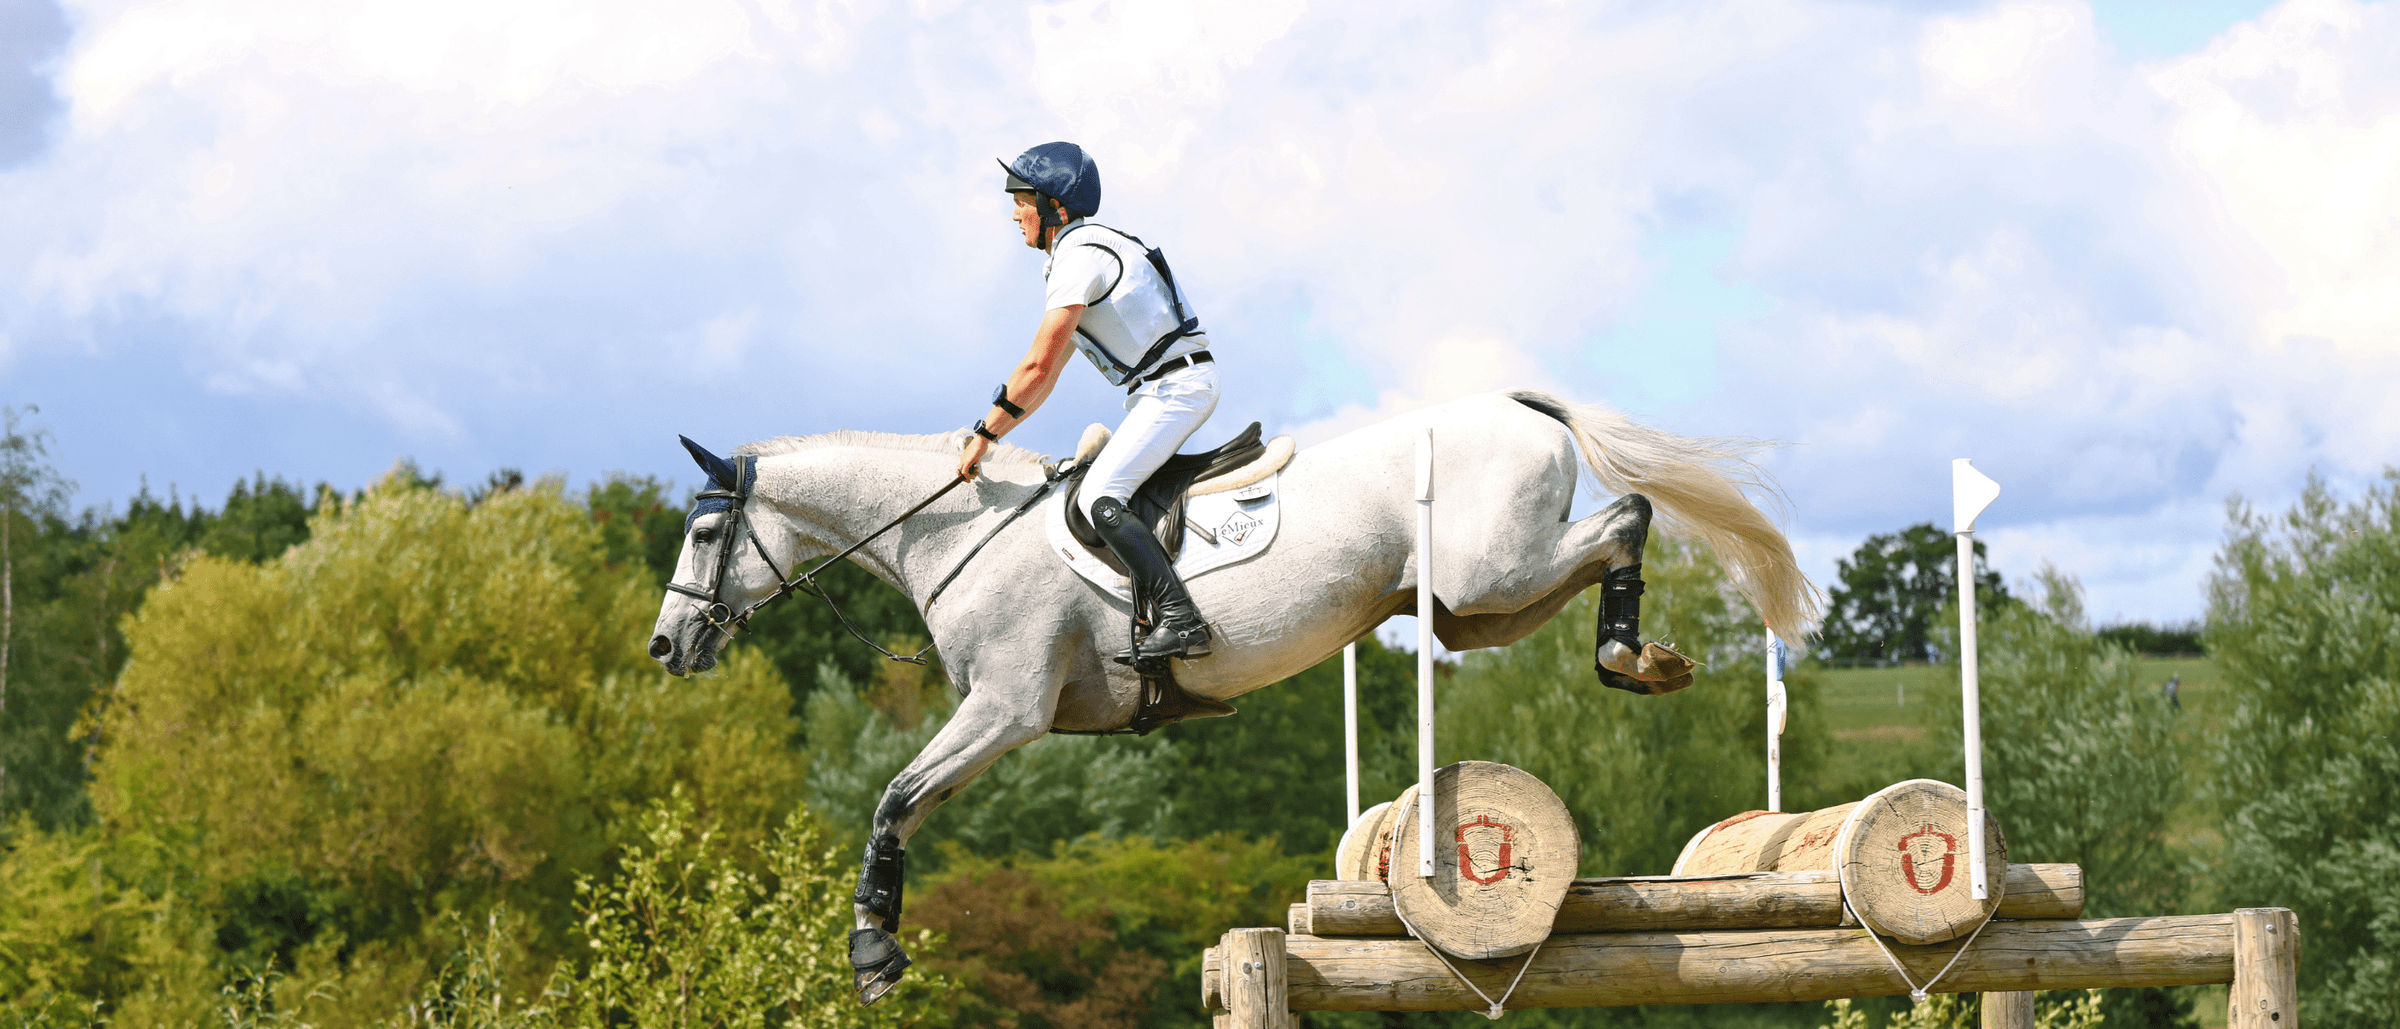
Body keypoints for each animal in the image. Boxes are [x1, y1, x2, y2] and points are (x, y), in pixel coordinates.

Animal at [645, 388, 1821, 1003]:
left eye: (702, 533)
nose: (664, 647)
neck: (958, 530)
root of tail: (1508, 403)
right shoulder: (1006, 718)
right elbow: (902, 802)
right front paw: (876, 942)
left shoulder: (1007, 711)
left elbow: (892, 799)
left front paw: (872, 952)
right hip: (1471, 607)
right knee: (1601, 539)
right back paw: (1642, 656)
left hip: (1488, 574)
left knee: (1628, 516)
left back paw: (1628, 653)